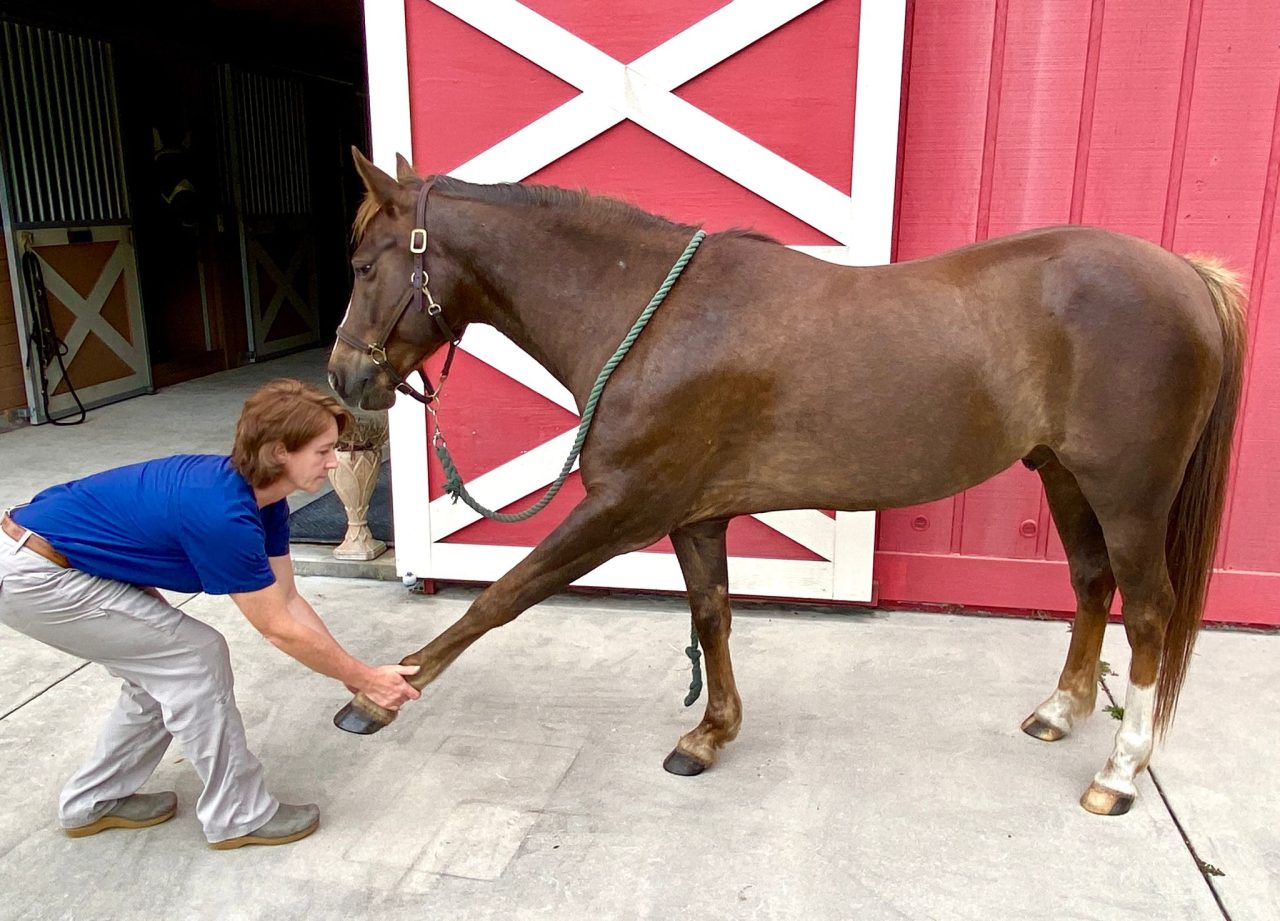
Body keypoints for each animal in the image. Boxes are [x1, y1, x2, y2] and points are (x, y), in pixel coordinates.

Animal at [327, 148, 1246, 816]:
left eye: (367, 264)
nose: (343, 378)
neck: (652, 316)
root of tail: (1188, 276)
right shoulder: (694, 516)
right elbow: (713, 616)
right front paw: (708, 735)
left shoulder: (623, 508)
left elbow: (502, 595)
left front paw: (383, 693)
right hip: (1065, 476)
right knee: (1092, 584)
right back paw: (1058, 713)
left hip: (1130, 493)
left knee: (1150, 612)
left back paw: (1119, 774)